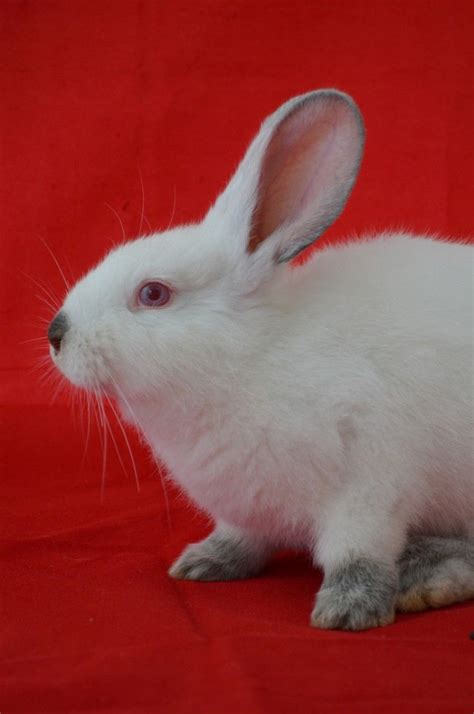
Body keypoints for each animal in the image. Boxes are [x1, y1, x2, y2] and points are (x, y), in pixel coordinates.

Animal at [48, 89, 474, 630]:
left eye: (154, 293)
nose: (56, 333)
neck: (249, 359)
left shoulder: (371, 490)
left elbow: (357, 554)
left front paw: (346, 610)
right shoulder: (243, 511)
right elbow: (239, 540)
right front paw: (202, 563)